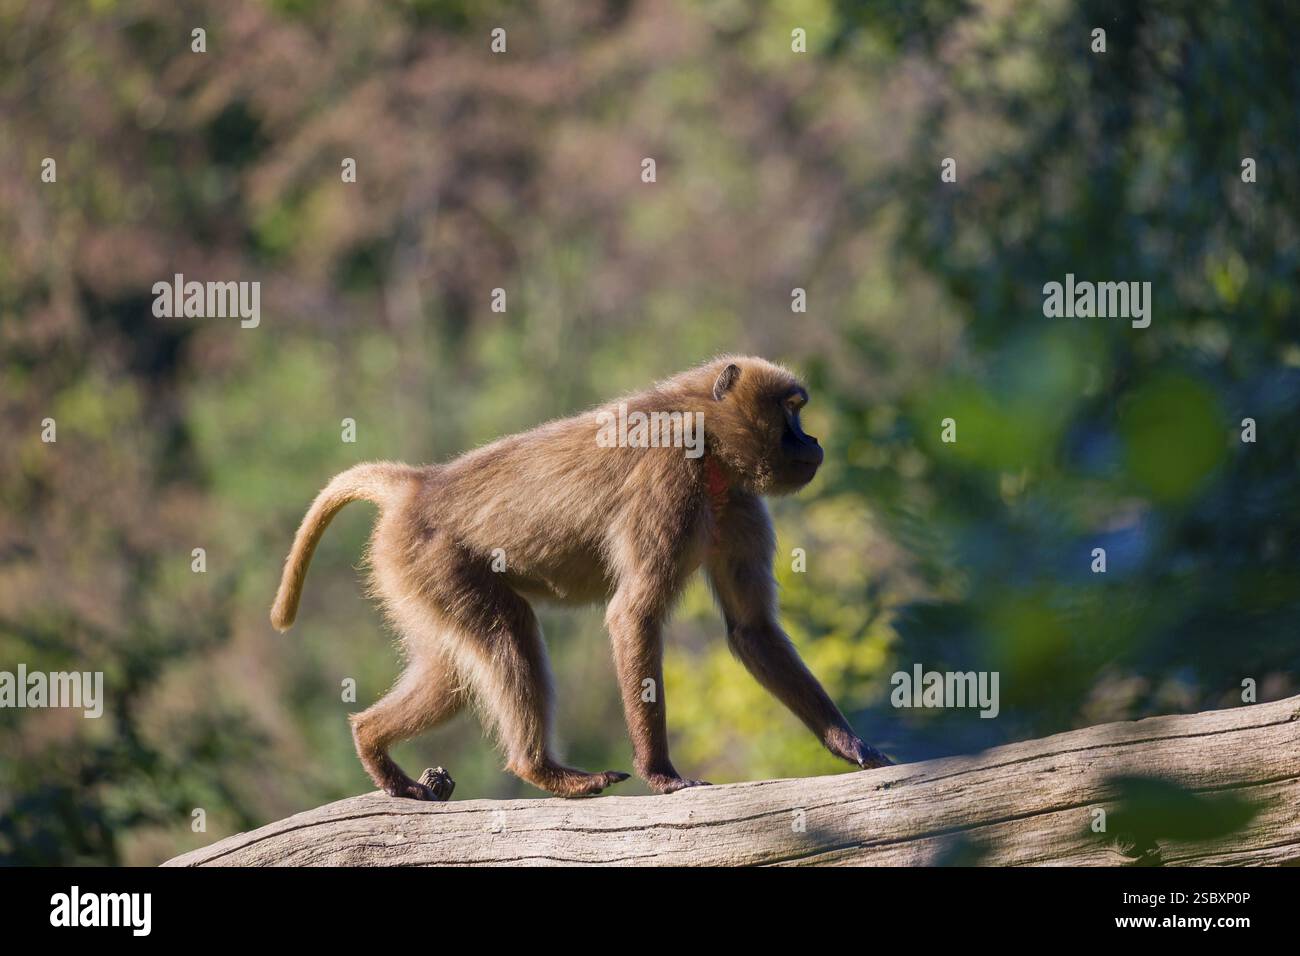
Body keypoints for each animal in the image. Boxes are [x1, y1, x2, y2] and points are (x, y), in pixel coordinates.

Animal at [270, 356, 892, 800]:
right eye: (791, 412)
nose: (813, 442)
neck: (705, 438)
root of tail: (419, 485)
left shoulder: (737, 503)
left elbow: (752, 629)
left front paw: (851, 745)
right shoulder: (669, 478)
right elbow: (633, 613)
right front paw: (661, 773)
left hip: (416, 580)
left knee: (451, 674)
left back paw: (373, 745)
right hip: (431, 562)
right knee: (508, 637)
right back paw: (544, 771)